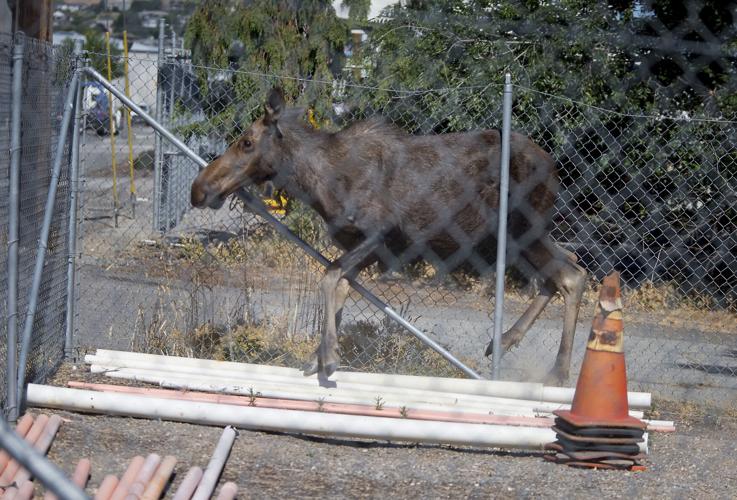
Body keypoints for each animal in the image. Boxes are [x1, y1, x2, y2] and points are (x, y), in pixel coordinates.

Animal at [191, 87, 587, 384]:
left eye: (246, 142)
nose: (199, 189)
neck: (317, 183)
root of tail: (555, 167)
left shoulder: (382, 234)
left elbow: (329, 276)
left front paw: (328, 356)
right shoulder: (362, 245)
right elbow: (340, 286)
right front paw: (320, 355)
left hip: (521, 229)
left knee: (571, 275)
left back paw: (556, 372)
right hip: (522, 236)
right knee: (568, 264)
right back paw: (505, 341)